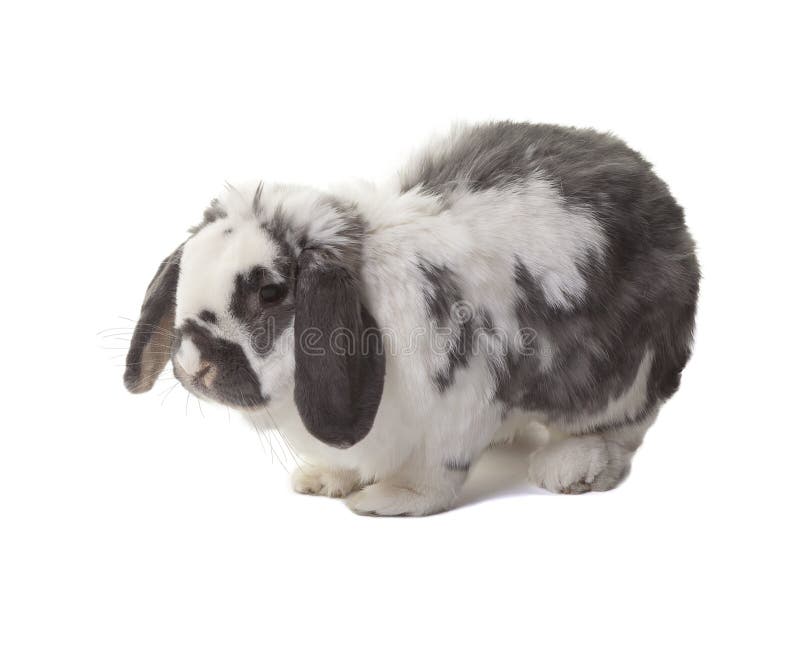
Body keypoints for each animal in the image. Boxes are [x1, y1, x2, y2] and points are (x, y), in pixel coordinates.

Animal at [124, 122, 699, 516]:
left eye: (270, 292)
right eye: (186, 270)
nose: (193, 365)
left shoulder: (460, 404)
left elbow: (433, 476)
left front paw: (389, 499)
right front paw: (322, 480)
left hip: (627, 373)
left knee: (622, 428)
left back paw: (573, 466)